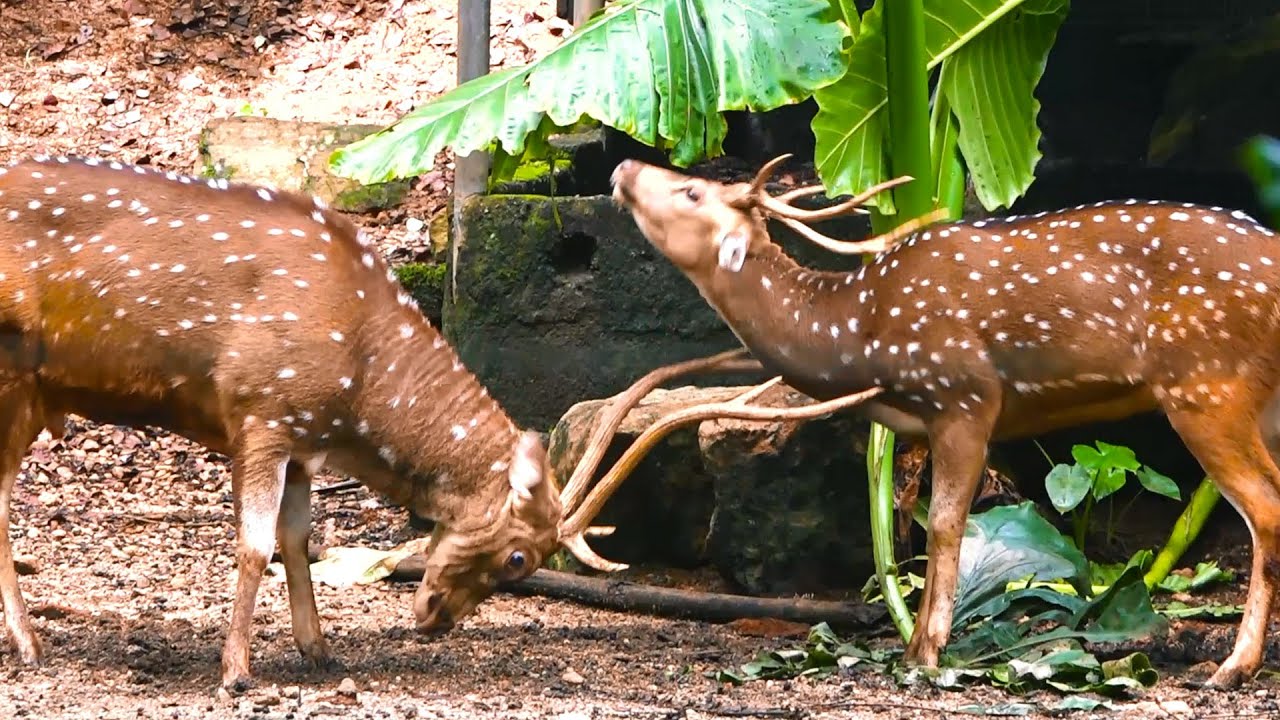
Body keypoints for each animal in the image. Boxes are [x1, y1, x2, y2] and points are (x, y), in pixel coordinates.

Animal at [0, 154, 880, 694]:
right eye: (520, 558)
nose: (435, 623)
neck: (358, 383)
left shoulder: (304, 439)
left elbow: (296, 540)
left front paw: (318, 649)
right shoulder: (261, 407)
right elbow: (253, 544)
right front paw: (236, 671)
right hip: (13, 378)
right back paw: (31, 645)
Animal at [608, 153, 1280, 689]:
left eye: (691, 192)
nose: (623, 167)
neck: (858, 338)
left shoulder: (964, 397)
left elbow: (946, 525)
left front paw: (927, 652)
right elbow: (929, 525)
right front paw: (912, 647)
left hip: (1204, 385)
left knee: (1265, 511)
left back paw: (1232, 668)